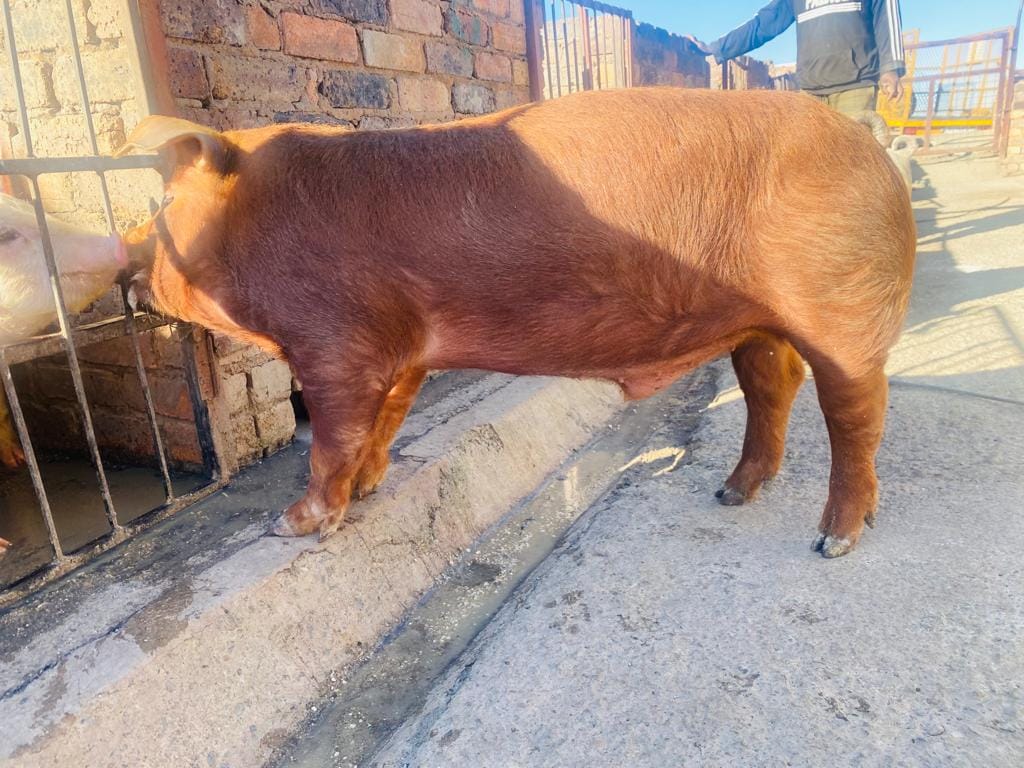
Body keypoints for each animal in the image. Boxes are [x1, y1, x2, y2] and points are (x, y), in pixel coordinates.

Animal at [116, 88, 915, 558]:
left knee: (857, 413)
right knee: (771, 387)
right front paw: (372, 489)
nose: (124, 264)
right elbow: (384, 423)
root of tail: (870, 146)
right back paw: (731, 493)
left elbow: (334, 438)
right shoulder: (401, 350)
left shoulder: (337, 342)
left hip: (842, 307)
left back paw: (833, 541)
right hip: (757, 323)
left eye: (164, 207)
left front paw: (291, 525)